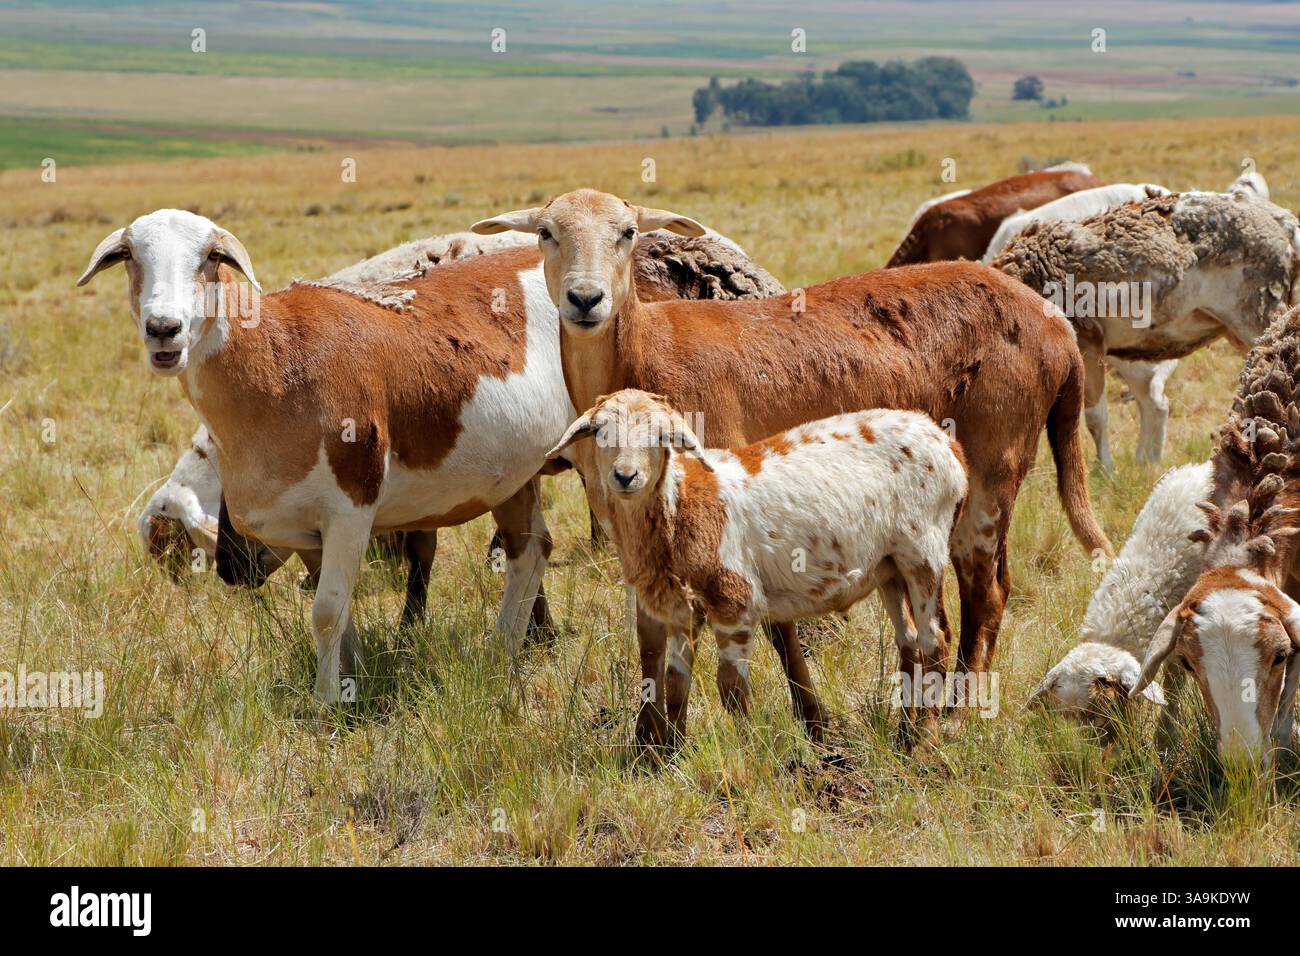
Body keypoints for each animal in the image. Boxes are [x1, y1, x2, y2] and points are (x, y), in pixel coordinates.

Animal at [547, 389, 967, 744]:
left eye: (662, 436)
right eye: (600, 431)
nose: (625, 476)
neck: (680, 505)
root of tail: (945, 441)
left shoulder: (735, 601)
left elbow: (730, 687)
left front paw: (746, 748)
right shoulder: (682, 610)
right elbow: (676, 682)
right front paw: (673, 755)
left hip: (923, 550)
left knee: (935, 640)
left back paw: (925, 740)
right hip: (888, 566)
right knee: (908, 641)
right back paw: (904, 734)